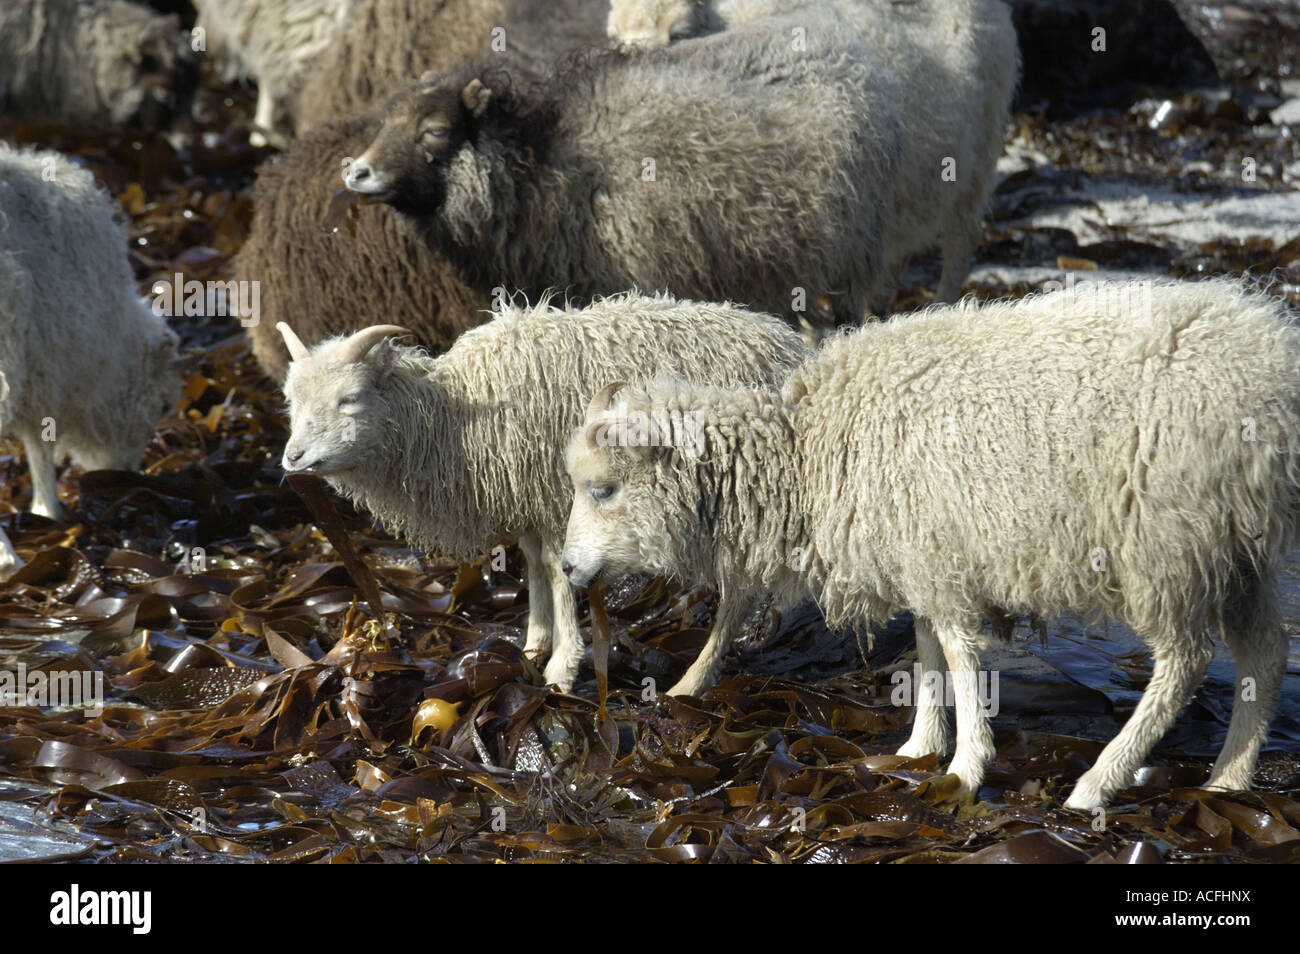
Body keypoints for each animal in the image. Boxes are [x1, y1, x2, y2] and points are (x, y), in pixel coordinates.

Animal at [0, 144, 181, 575]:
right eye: (163, 406)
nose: (125, 476)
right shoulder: (48, 366)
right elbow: (40, 449)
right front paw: (47, 510)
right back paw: (8, 559)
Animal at [276, 293, 808, 693]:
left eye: (349, 399)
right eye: (291, 401)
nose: (293, 459)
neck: (454, 417)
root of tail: (790, 343)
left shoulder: (556, 497)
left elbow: (558, 571)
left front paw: (563, 665)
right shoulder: (531, 502)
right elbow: (534, 564)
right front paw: (534, 642)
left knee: (739, 587)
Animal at [342, 11, 905, 329]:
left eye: (435, 131)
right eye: (386, 119)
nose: (356, 174)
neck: (540, 169)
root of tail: (843, 51)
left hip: (850, 255)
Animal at [561, 278, 1300, 809]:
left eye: (603, 489)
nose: (567, 567)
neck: (809, 453)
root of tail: (1271, 376)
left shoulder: (942, 557)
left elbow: (961, 658)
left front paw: (967, 764)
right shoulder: (920, 554)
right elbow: (928, 651)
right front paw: (919, 748)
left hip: (1165, 544)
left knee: (1183, 664)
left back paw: (1099, 782)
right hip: (1236, 547)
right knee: (1264, 652)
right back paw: (1229, 779)